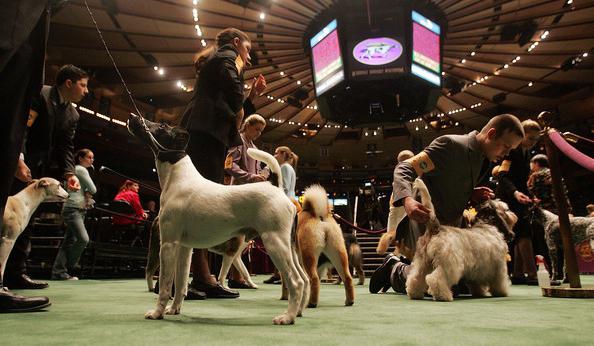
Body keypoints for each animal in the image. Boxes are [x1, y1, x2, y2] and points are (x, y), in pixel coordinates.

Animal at [127, 115, 308, 324]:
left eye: (162, 126)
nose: (132, 117)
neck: (178, 178)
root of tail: (275, 187)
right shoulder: (184, 248)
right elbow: (180, 284)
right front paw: (174, 309)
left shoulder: (169, 244)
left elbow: (165, 284)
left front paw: (158, 312)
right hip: (289, 247)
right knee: (304, 279)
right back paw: (298, 311)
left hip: (275, 243)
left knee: (295, 280)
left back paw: (287, 317)